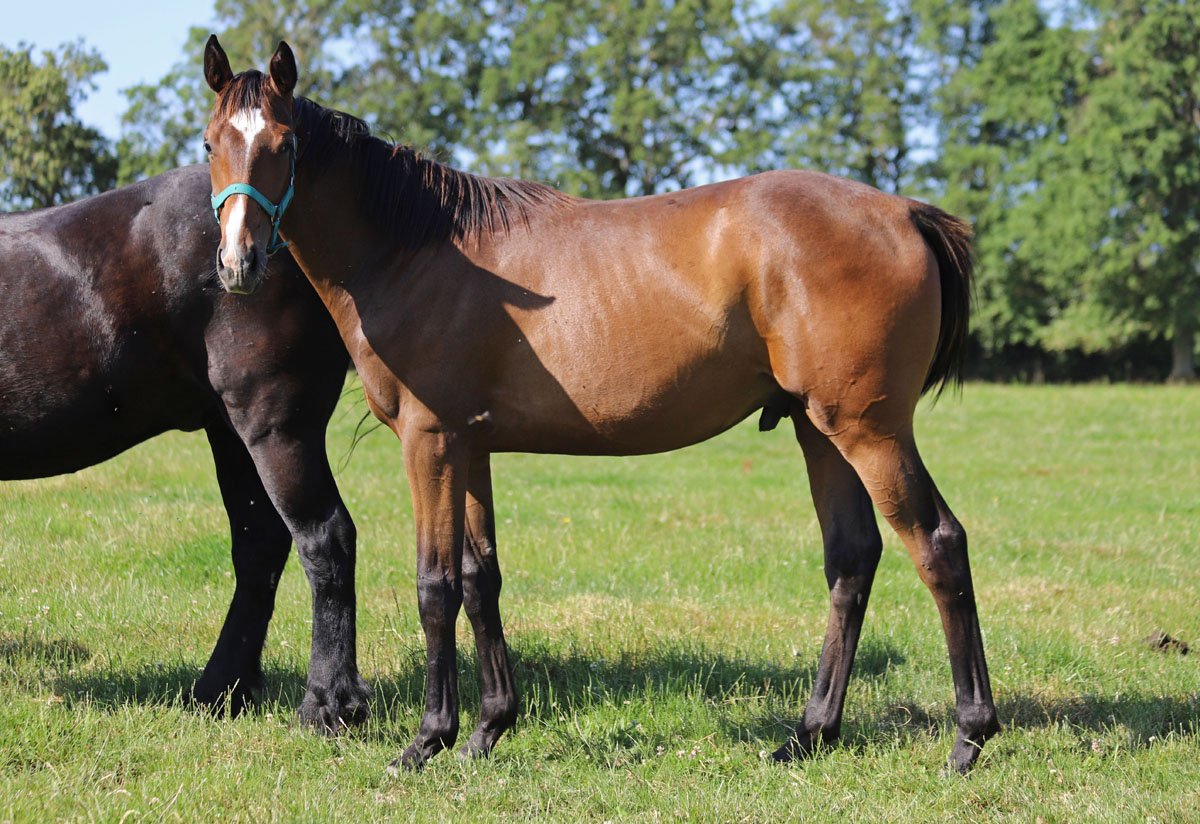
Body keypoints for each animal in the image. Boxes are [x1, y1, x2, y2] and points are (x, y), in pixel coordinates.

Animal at [0, 164, 371, 728]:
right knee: (261, 545)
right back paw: (222, 689)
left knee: (324, 539)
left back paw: (327, 704)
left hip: (274, 426)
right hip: (231, 432)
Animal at [199, 37, 1000, 772]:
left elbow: (434, 586)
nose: (238, 264)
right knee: (852, 560)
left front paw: (428, 740)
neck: (416, 249)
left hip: (870, 432)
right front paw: (489, 729)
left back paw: (970, 734)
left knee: (938, 545)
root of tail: (905, 213)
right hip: (819, 430)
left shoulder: (430, 442)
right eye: (211, 143)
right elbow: (479, 579)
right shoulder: (472, 446)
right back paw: (810, 734)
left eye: (282, 145)